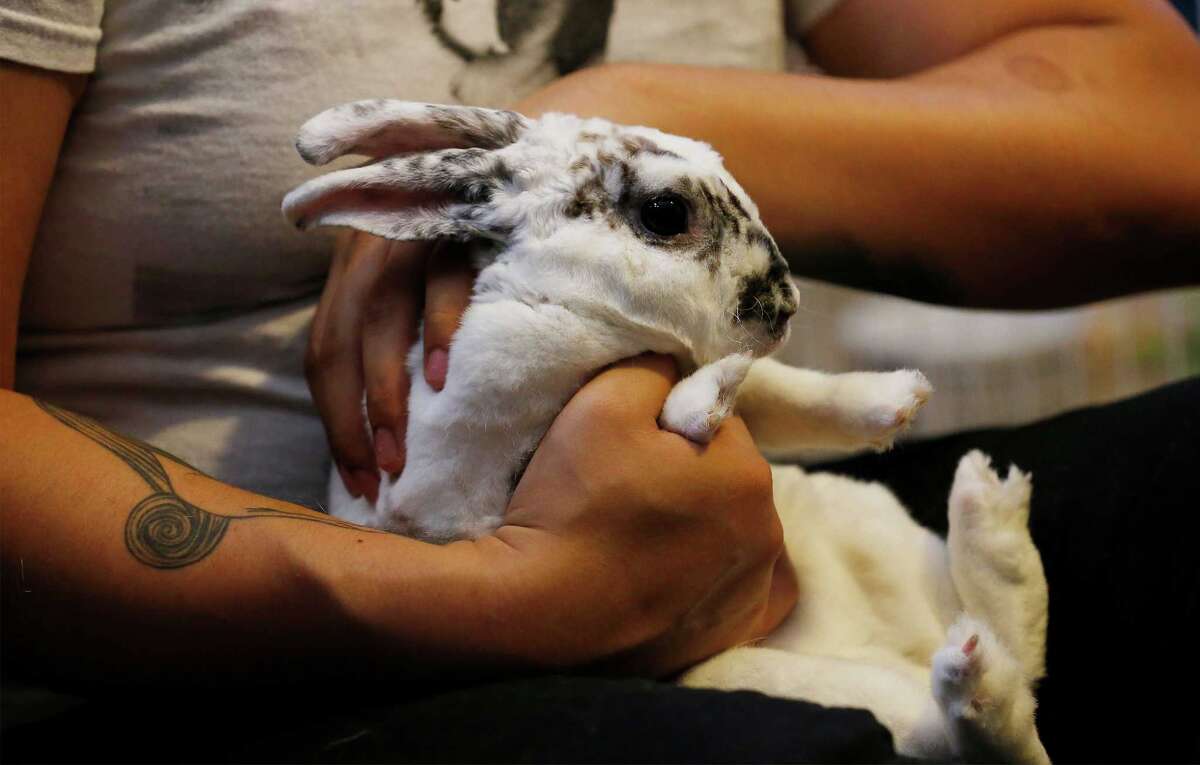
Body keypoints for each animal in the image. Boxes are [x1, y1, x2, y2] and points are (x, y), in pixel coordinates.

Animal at [282, 101, 1050, 764]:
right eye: (665, 212)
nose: (788, 303)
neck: (580, 318)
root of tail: (904, 645)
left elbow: (783, 391)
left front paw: (894, 399)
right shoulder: (458, 470)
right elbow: (704, 401)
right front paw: (710, 399)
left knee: (1017, 659)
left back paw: (988, 514)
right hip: (803, 682)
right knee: (982, 724)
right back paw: (972, 658)